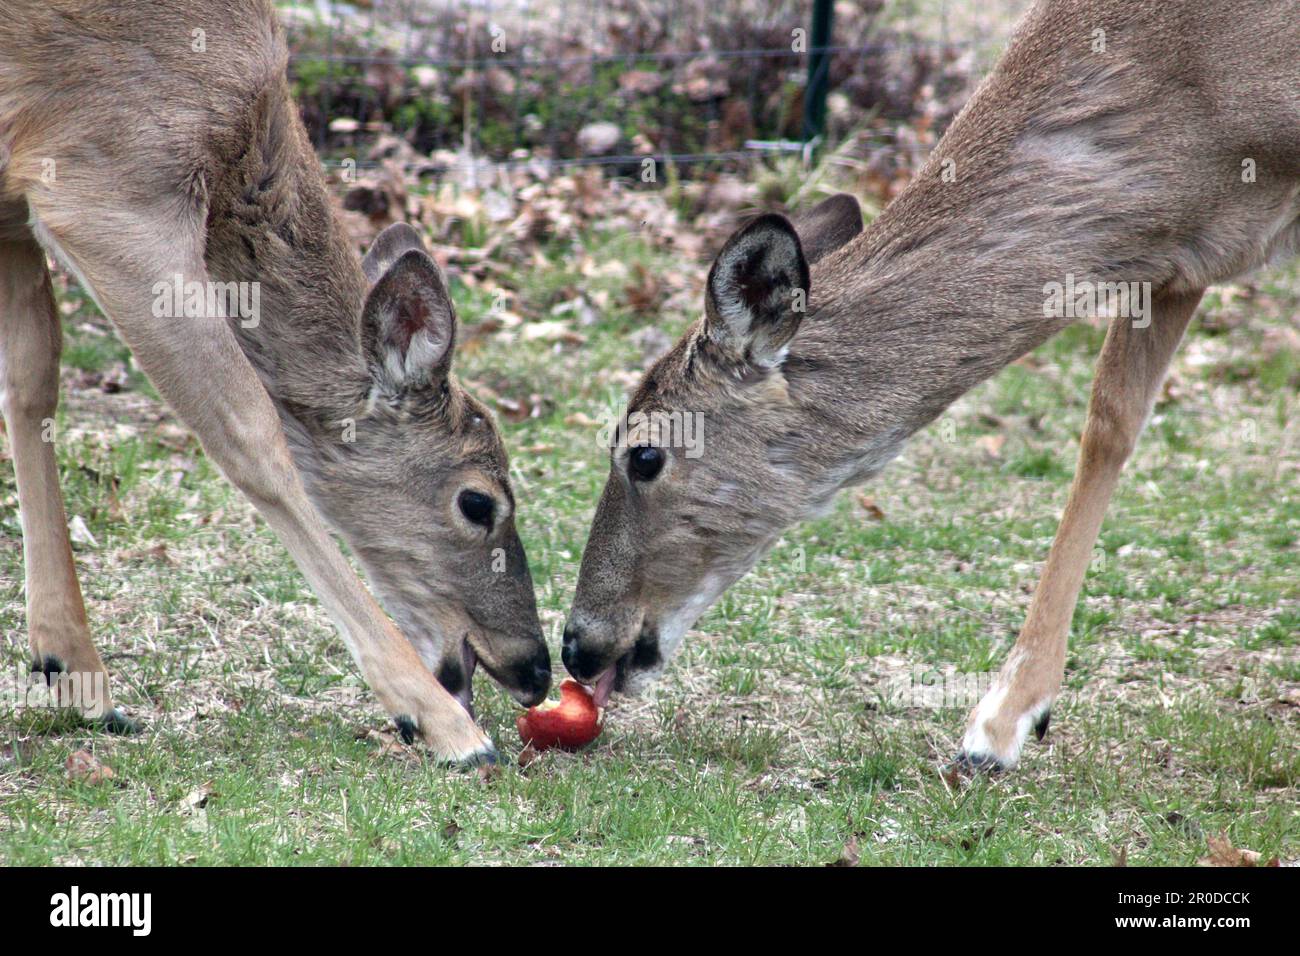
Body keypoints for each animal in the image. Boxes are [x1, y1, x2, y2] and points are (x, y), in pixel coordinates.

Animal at [0, 0, 548, 764]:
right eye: (478, 502)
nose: (535, 668)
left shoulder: (15, 205)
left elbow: (30, 377)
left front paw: (73, 672)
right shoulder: (107, 182)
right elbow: (249, 432)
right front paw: (444, 724)